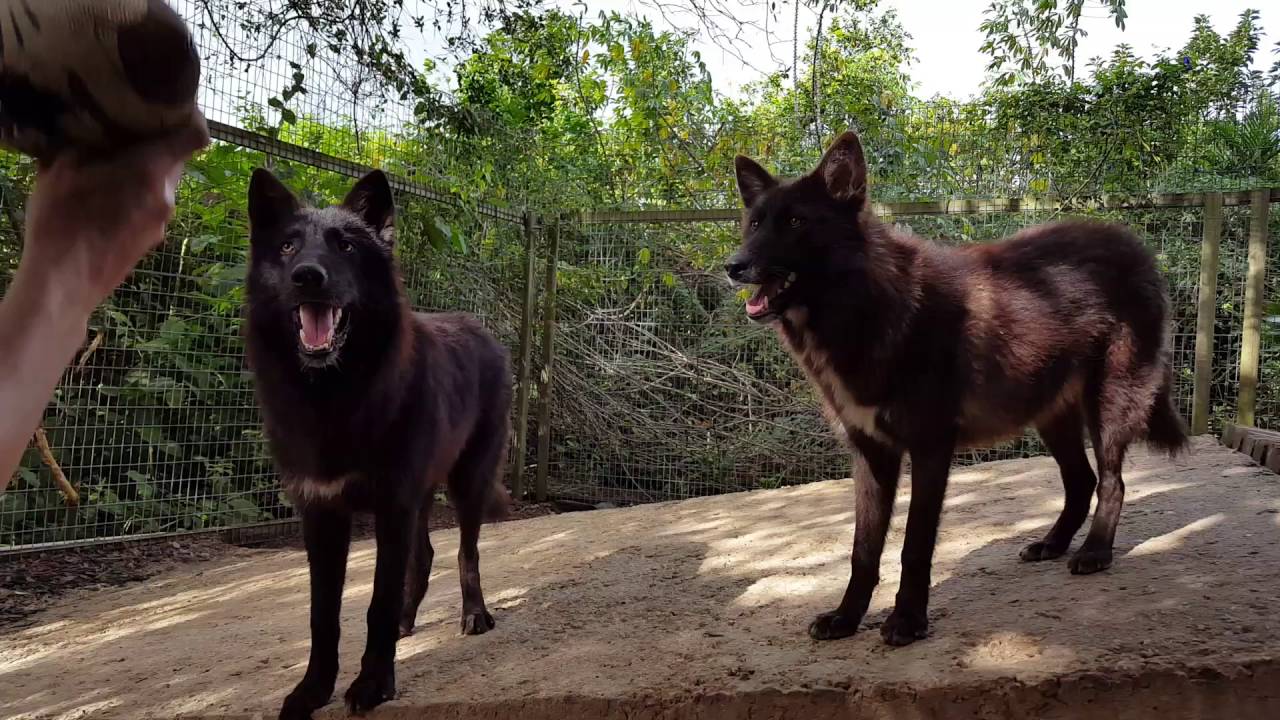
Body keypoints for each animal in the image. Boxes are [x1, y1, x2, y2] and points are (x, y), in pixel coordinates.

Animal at [245, 168, 512, 718]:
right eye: (287, 246)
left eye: (345, 246)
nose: (307, 276)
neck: (335, 397)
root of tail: (481, 327)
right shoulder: (323, 514)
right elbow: (322, 614)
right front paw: (312, 690)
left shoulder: (392, 504)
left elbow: (376, 603)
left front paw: (372, 684)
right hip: (423, 496)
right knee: (425, 555)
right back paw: (408, 623)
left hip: (466, 484)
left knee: (466, 553)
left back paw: (475, 615)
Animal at [726, 130, 1188, 646]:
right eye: (754, 223)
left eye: (795, 221)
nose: (733, 266)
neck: (867, 305)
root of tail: (1135, 245)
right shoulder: (872, 453)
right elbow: (863, 550)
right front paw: (846, 618)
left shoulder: (931, 448)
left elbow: (914, 545)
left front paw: (908, 620)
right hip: (1050, 414)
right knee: (1080, 480)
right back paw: (1052, 544)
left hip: (1109, 404)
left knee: (1111, 481)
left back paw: (1095, 551)